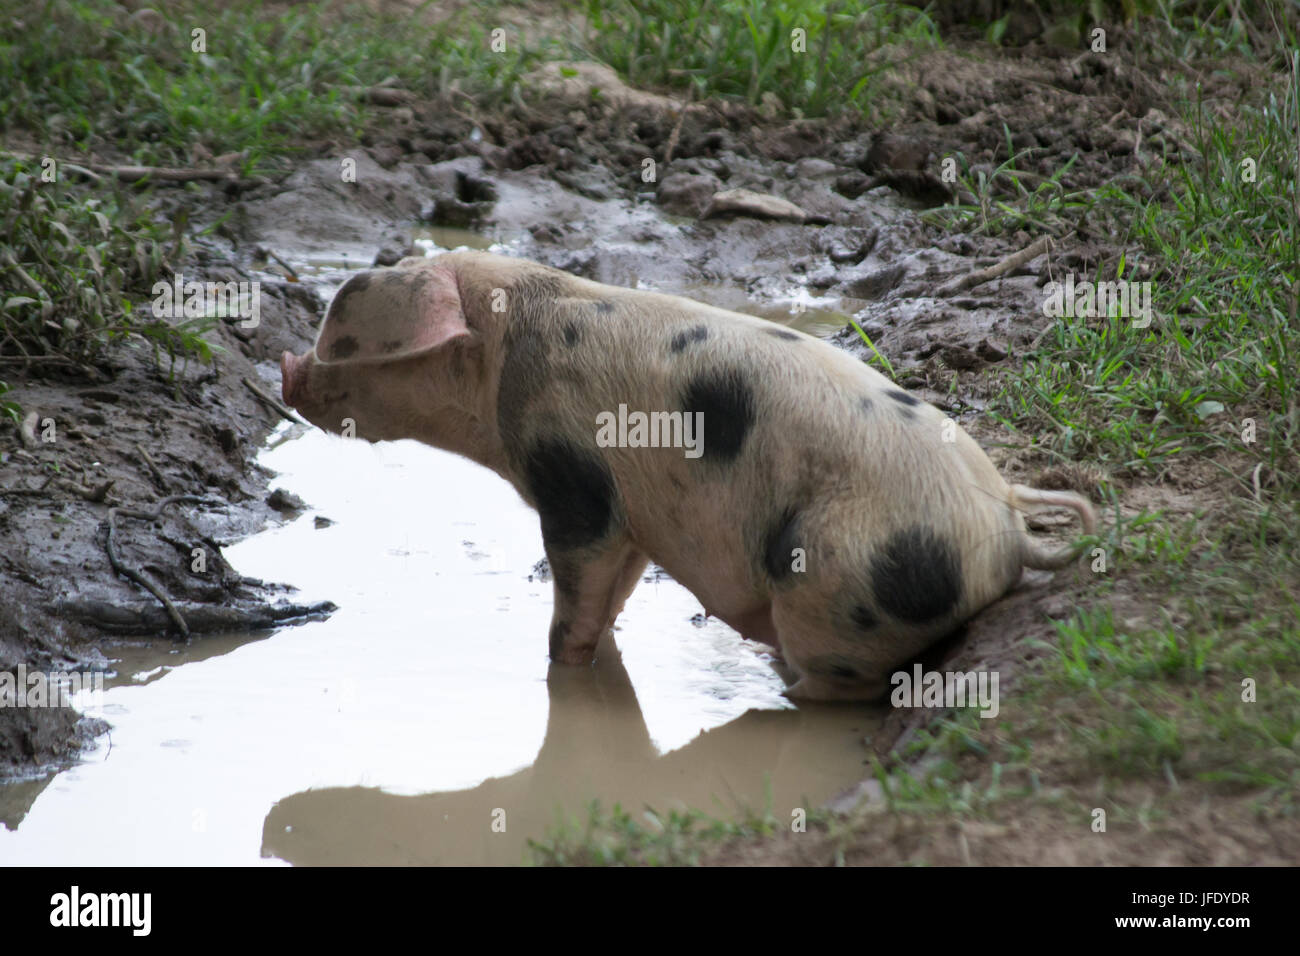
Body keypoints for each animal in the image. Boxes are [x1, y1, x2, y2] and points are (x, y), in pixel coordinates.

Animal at [280, 251, 1097, 701]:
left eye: (343, 339)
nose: (287, 374)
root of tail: (1006, 526)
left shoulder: (574, 480)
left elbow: (575, 586)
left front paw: (560, 671)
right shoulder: (634, 514)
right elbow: (615, 593)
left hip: (840, 581)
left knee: (845, 682)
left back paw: (782, 695)